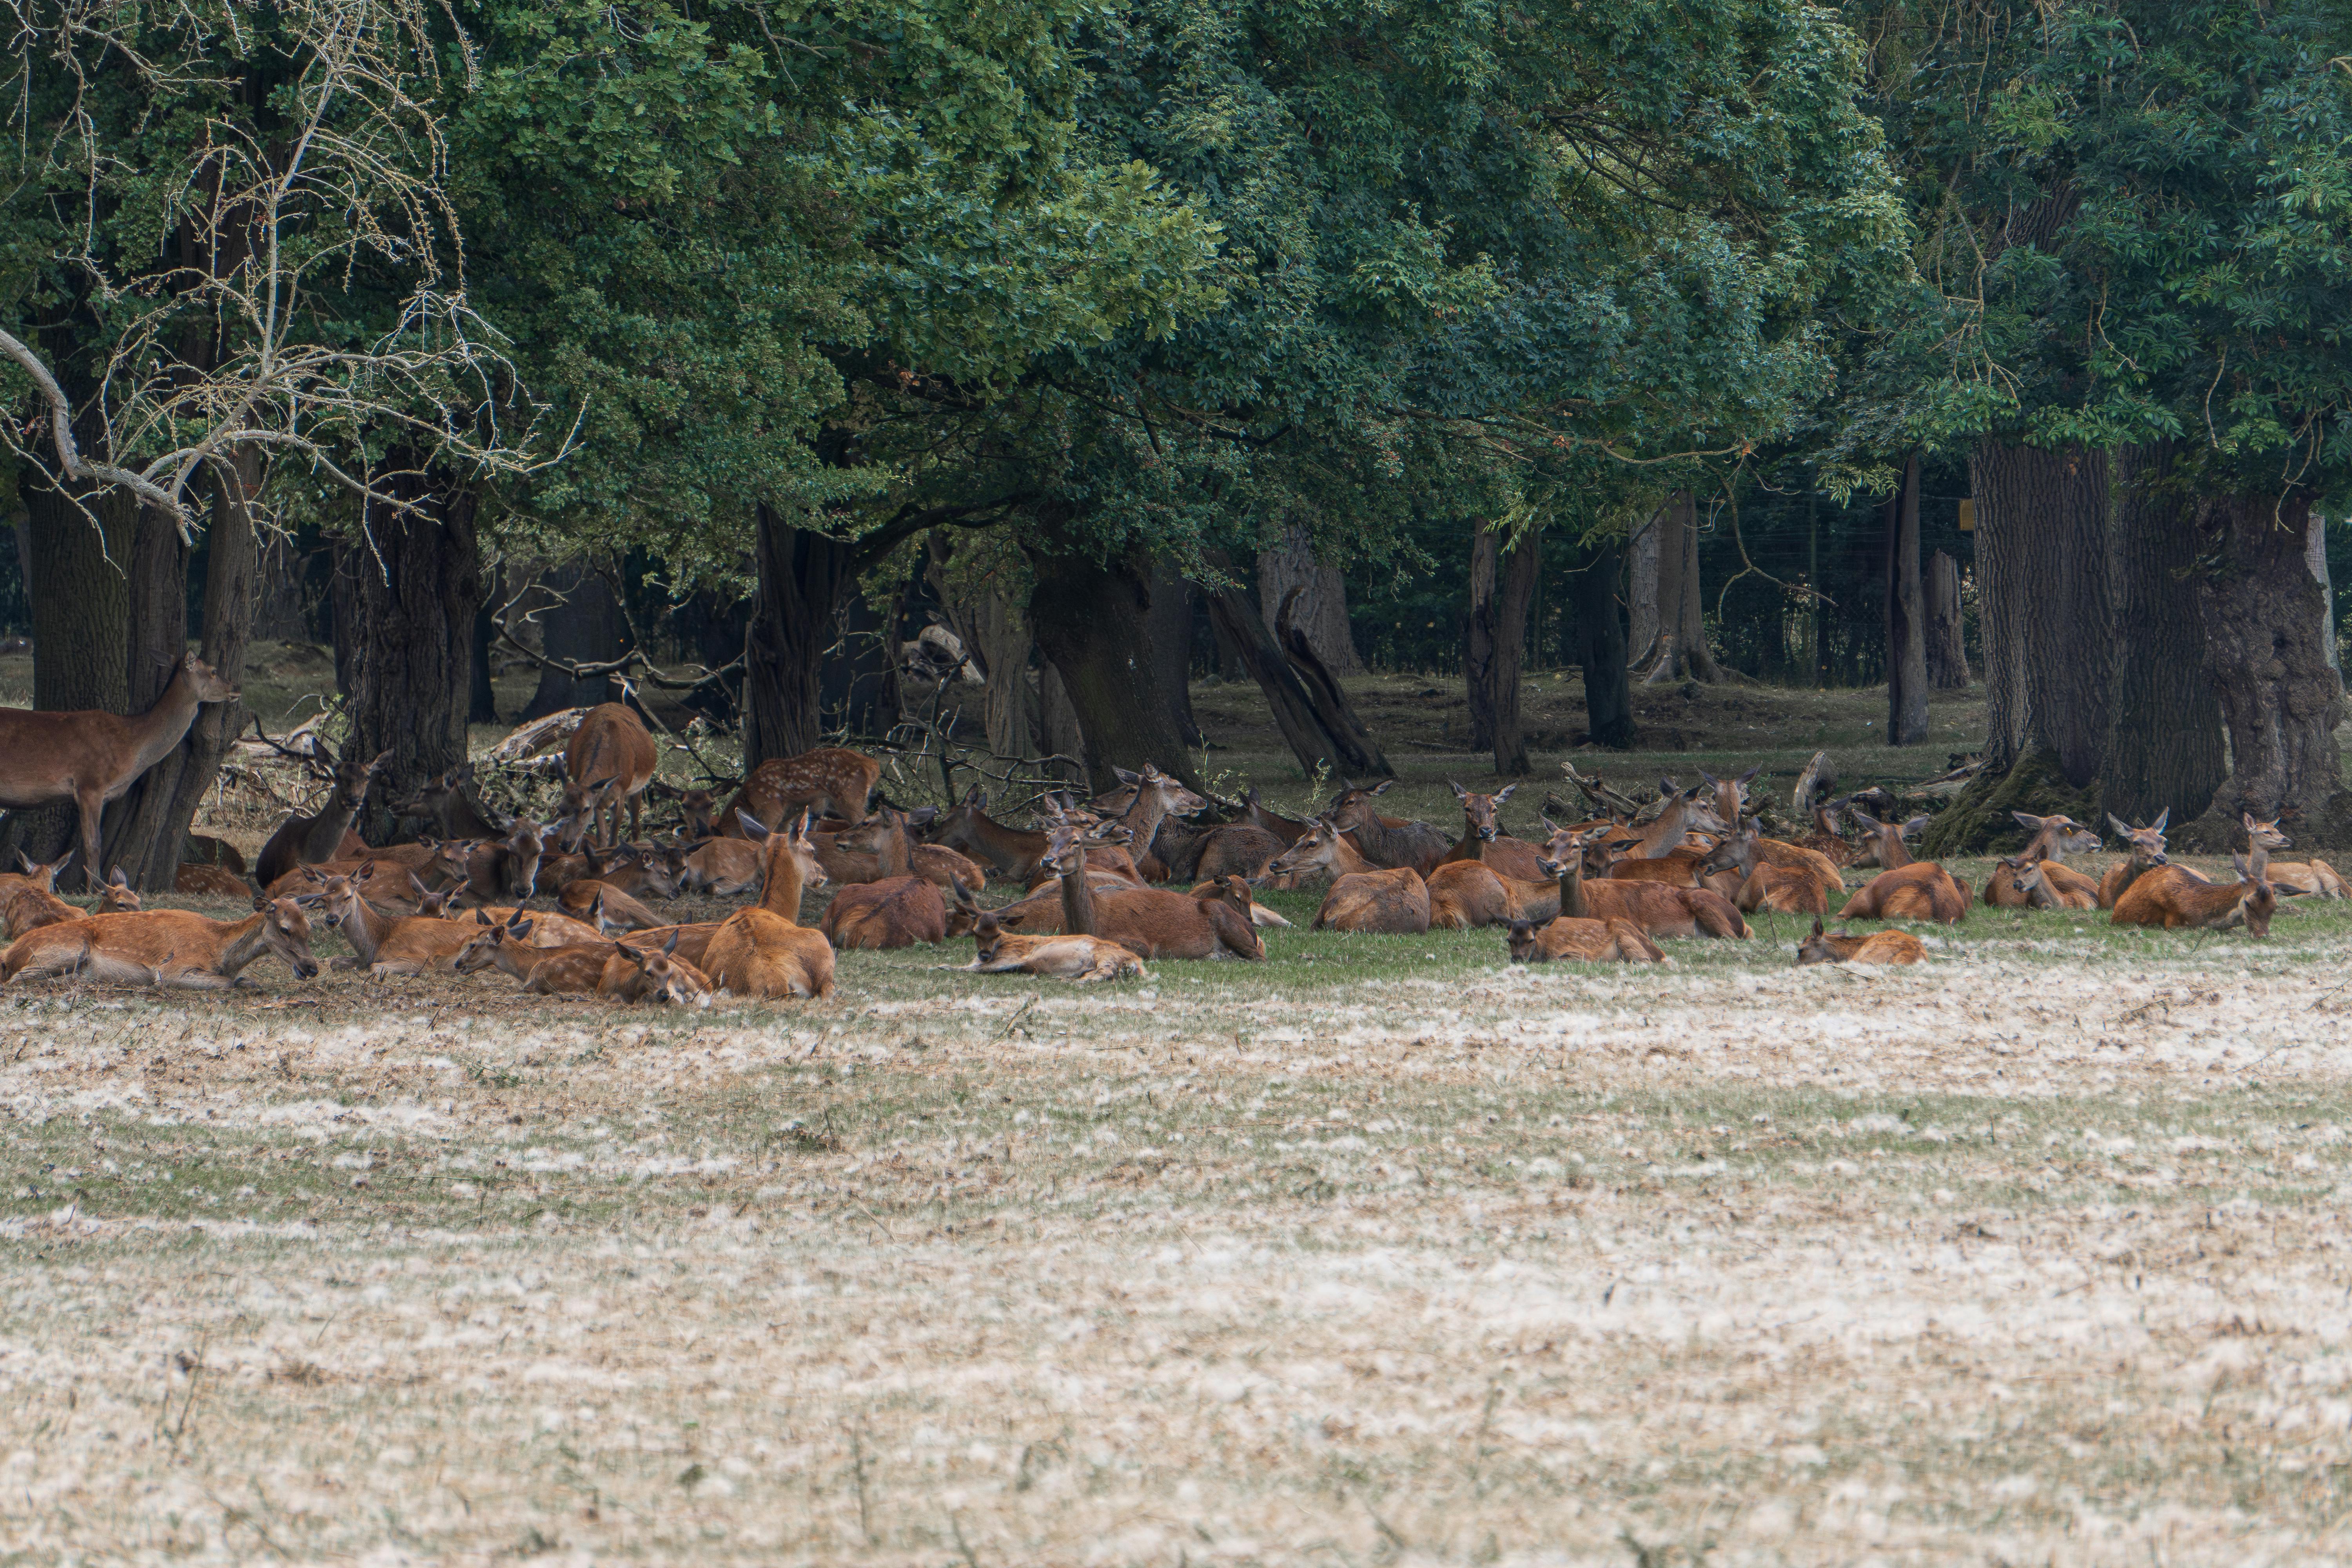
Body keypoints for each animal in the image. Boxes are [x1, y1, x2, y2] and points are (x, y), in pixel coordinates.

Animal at [0, 651, 238, 887]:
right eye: (214, 670)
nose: (236, 688)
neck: (130, 749)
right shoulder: (90, 783)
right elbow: (93, 843)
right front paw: (95, 888)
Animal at [2, 895, 322, 990]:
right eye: (285, 929)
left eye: (309, 927)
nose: (311, 968)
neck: (221, 952)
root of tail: (12, 951)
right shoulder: (173, 969)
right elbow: (229, 984)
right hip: (66, 949)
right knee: (17, 979)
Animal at [556, 703, 659, 851]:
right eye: (560, 808)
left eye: (586, 809)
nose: (565, 845)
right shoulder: (597, 800)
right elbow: (602, 837)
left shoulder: (621, 793)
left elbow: (614, 839)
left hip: (637, 789)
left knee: (635, 824)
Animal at [950, 885, 1146, 982]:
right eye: (975, 932)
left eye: (998, 934)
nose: (984, 955)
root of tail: (1135, 961)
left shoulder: (1014, 957)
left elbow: (977, 969)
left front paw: (945, 966)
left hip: (1105, 956)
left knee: (1105, 973)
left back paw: (1065, 979)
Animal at [1504, 914, 1664, 963]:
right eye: (1509, 940)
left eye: (1531, 940)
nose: (1517, 959)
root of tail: (1660, 953)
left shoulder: (1577, 952)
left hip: (1625, 937)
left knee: (1645, 960)